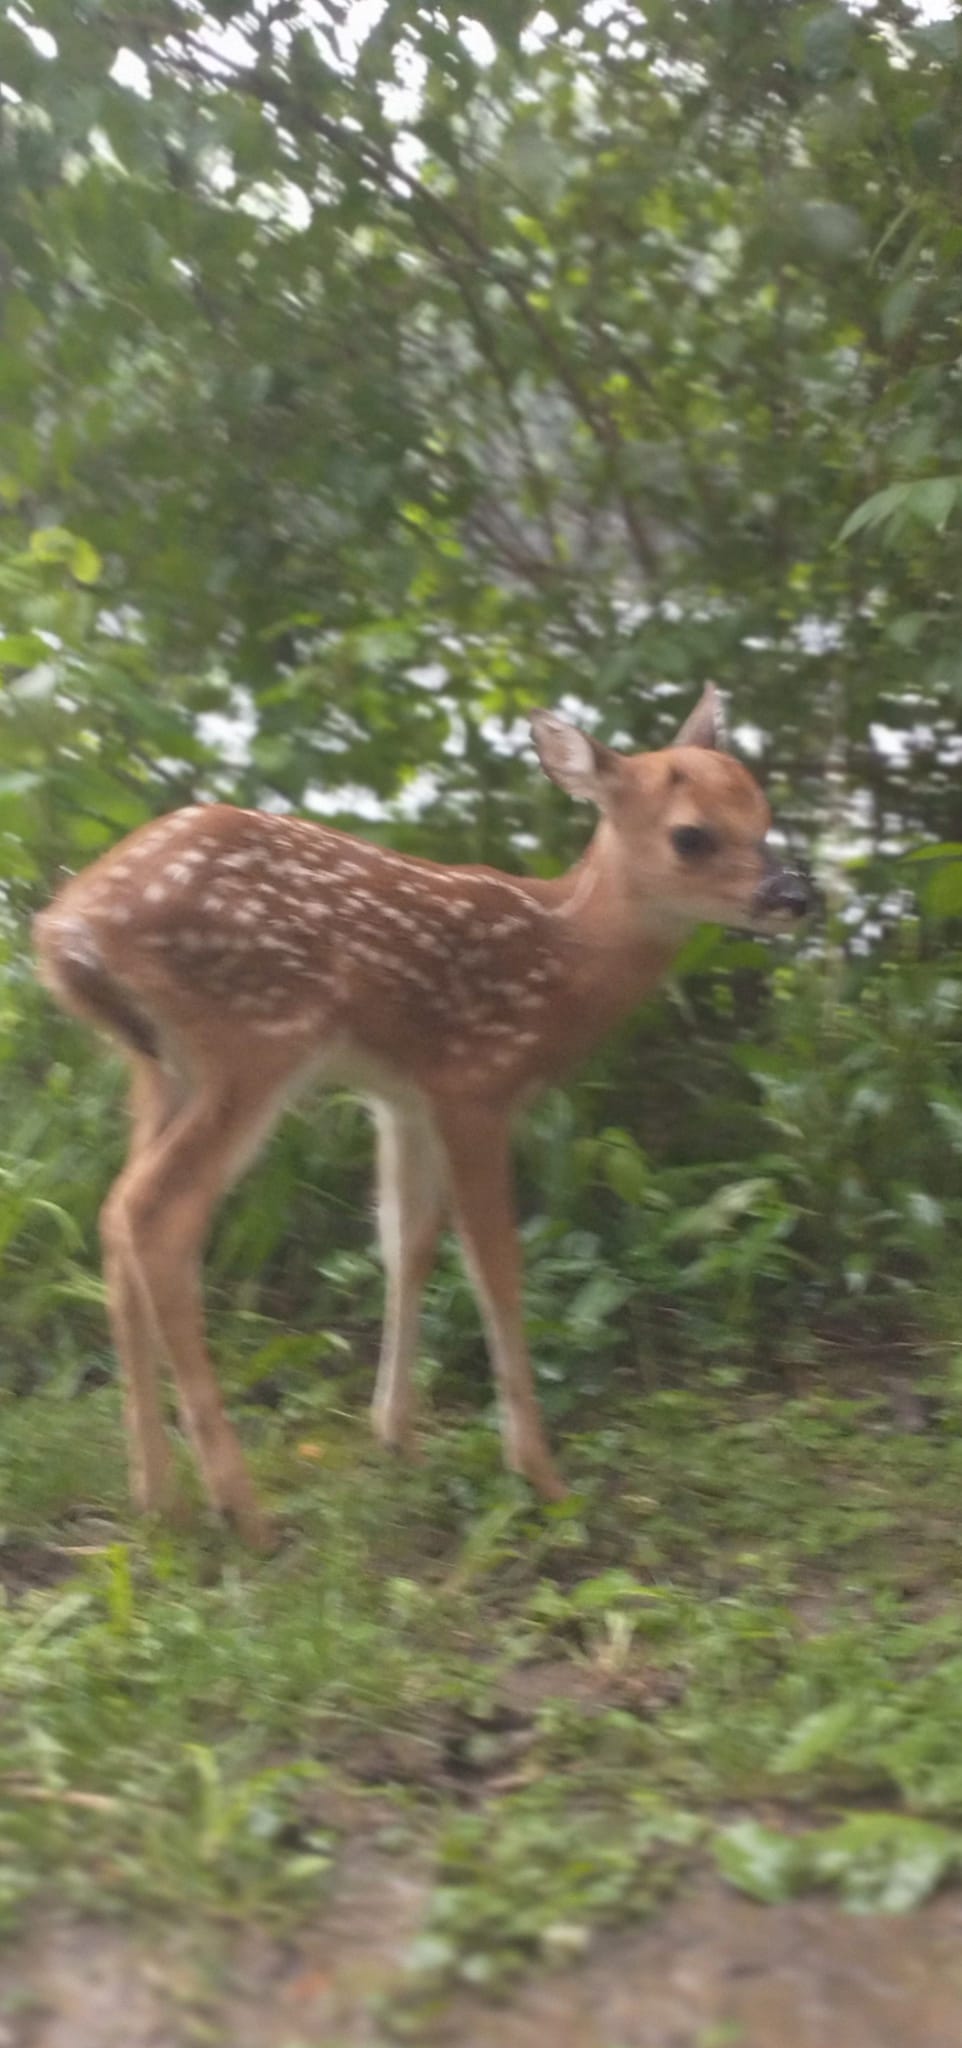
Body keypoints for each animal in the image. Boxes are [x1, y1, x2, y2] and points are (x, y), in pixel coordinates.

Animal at [34, 686, 811, 1547]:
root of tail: (66, 930)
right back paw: (241, 1509)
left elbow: (406, 1243)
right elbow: (495, 1265)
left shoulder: (402, 1095)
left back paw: (157, 1498)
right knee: (155, 1213)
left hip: (158, 1066)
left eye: (764, 815)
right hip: (255, 1039)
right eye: (691, 835)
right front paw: (541, 1475)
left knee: (113, 1214)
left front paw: (396, 1438)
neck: (565, 959)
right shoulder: (476, 1085)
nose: (796, 898)